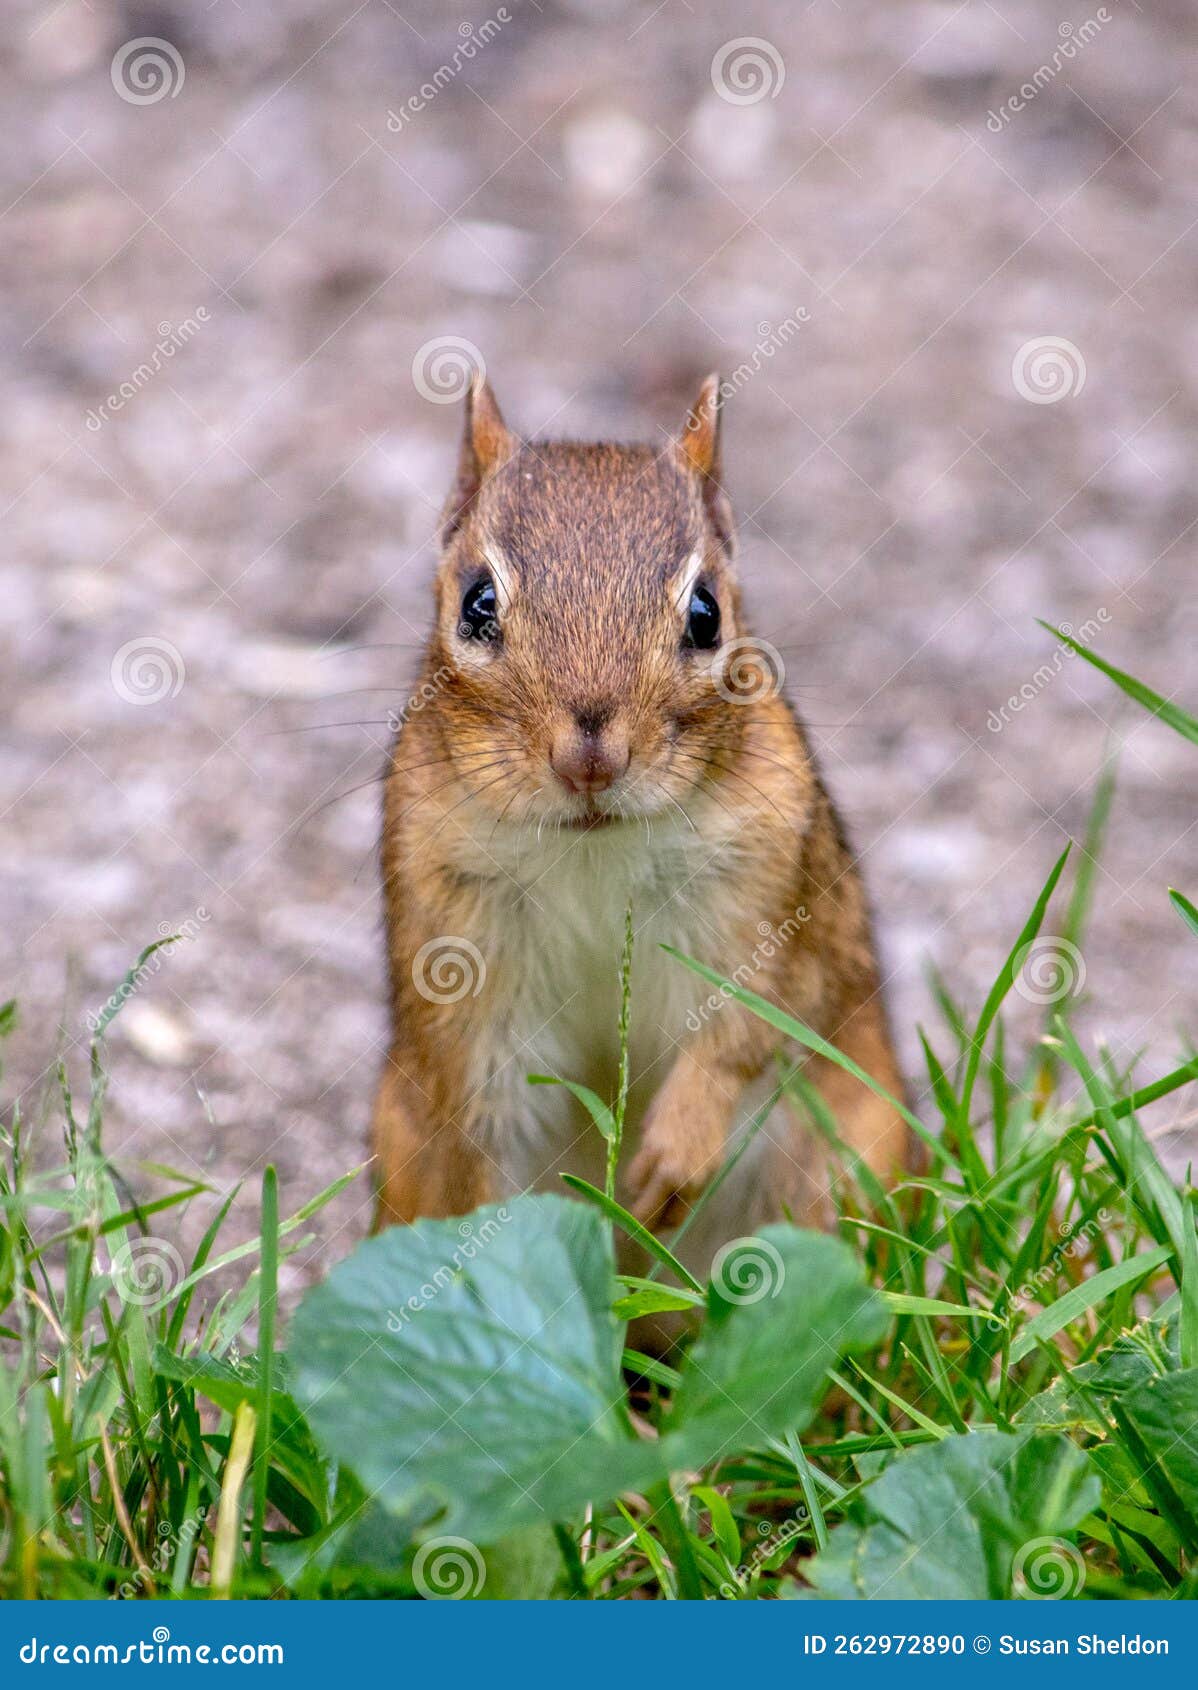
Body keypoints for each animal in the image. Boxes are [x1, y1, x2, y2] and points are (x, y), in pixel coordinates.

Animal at [371, 370, 909, 1273]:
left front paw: (669, 1157)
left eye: (706, 614)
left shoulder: (773, 904)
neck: (597, 851)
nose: (589, 757)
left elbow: (746, 1028)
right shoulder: (459, 956)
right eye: (477, 603)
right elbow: (480, 1133)